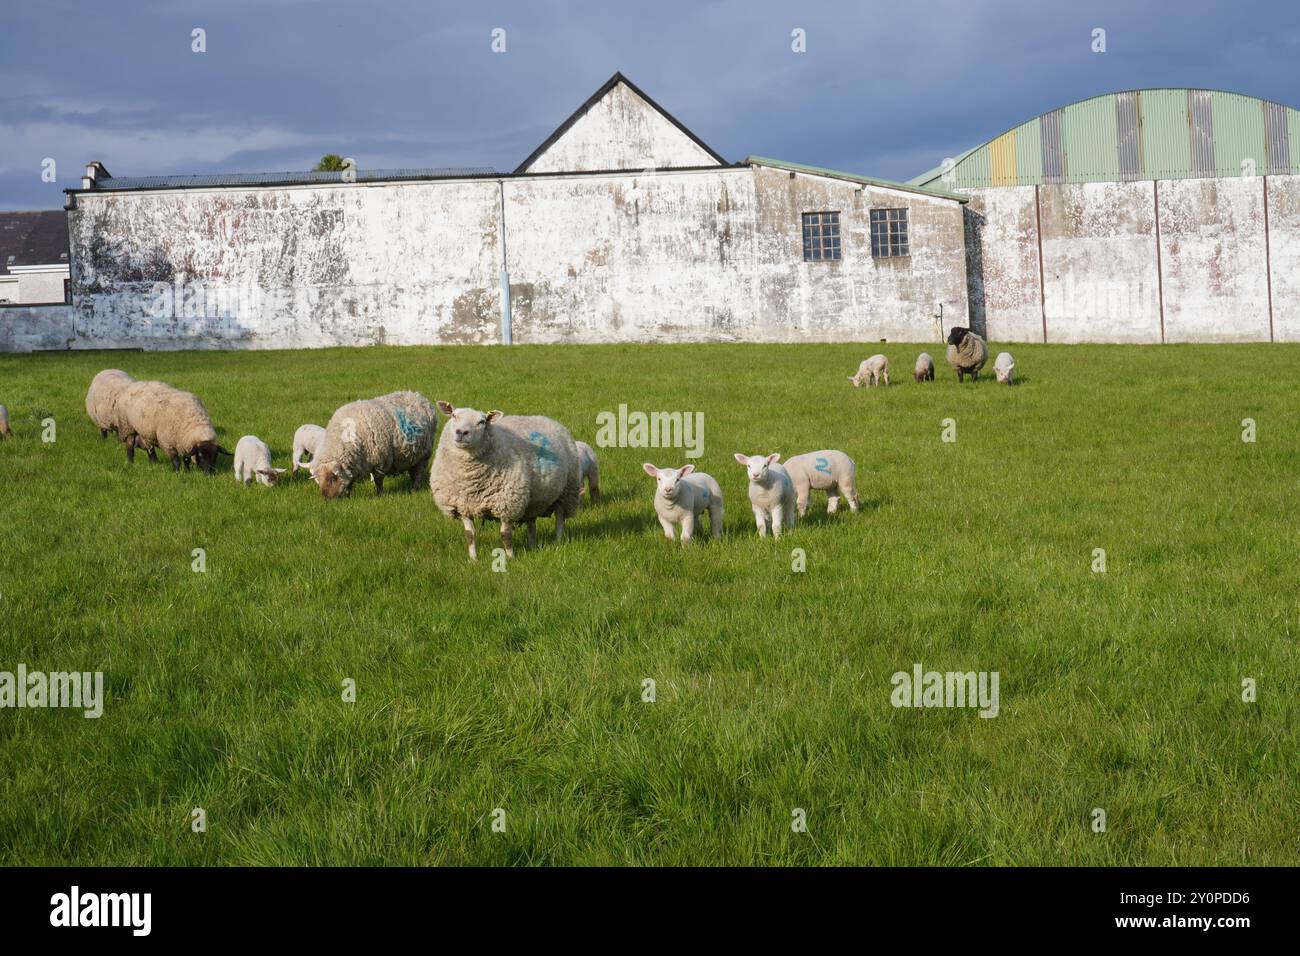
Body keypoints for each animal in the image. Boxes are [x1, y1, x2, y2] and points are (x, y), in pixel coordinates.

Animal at [429, 402, 581, 560]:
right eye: (454, 415)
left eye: (482, 422)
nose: (461, 432)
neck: (470, 483)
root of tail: (549, 420)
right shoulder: (462, 506)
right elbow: (469, 535)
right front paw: (473, 559)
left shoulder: (508, 504)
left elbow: (505, 535)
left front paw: (510, 558)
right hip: (534, 501)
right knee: (531, 522)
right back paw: (532, 545)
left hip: (567, 490)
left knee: (560, 518)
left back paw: (558, 541)